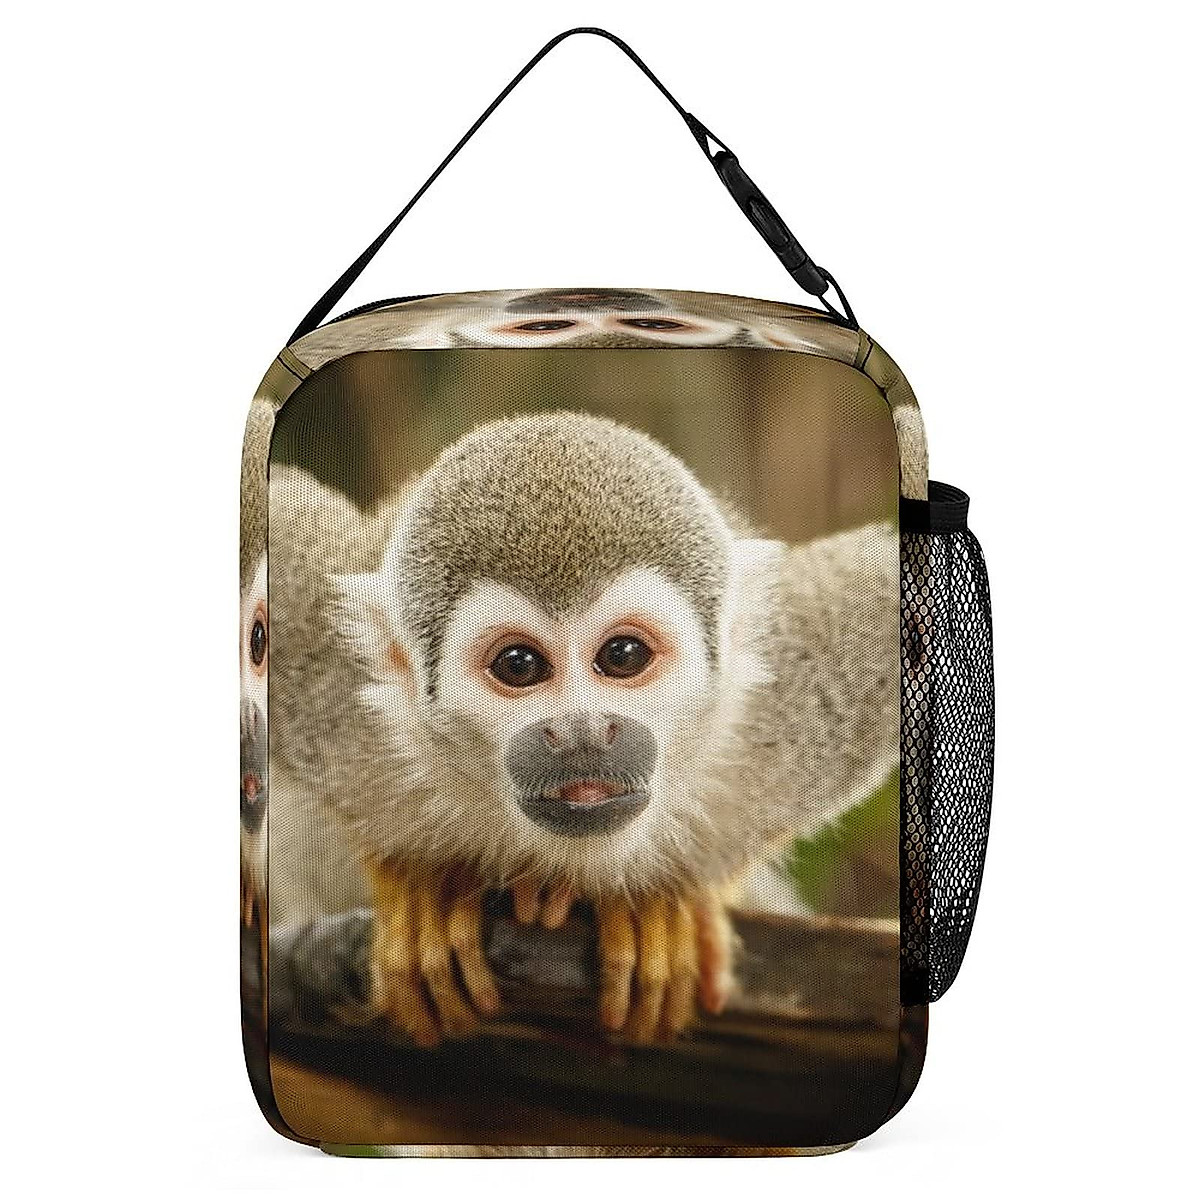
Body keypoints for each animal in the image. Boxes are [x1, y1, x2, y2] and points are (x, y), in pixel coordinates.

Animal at [327, 410, 900, 1046]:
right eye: (519, 665)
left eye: (623, 656)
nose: (581, 731)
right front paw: (420, 884)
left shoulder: (810, 688)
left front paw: (669, 903)